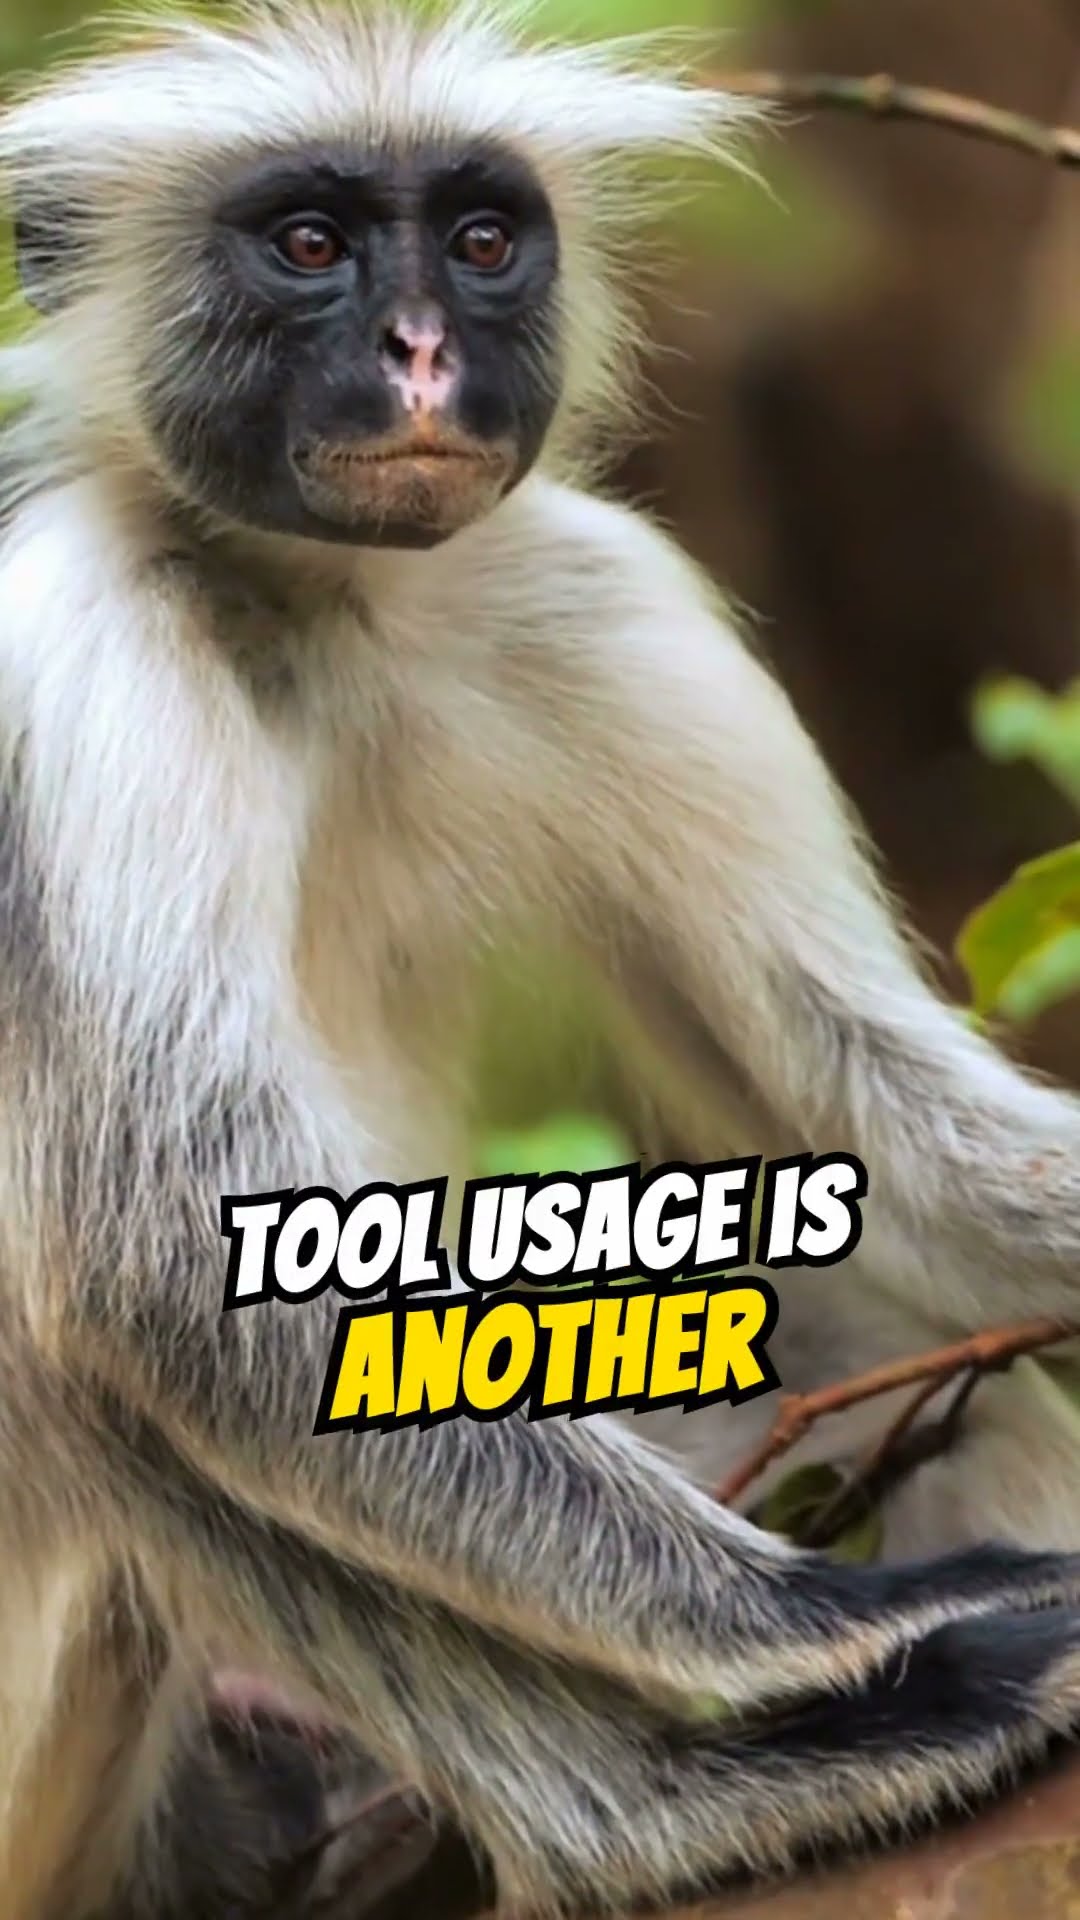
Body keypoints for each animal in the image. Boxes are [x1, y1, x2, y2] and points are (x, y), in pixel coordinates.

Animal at [1, 4, 1080, 1917]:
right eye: (309, 244)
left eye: (484, 241)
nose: (423, 347)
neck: (328, 613)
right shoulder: (88, 643)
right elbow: (167, 1256)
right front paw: (831, 1622)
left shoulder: (607, 603)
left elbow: (870, 1130)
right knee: (79, 1317)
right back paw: (697, 1803)